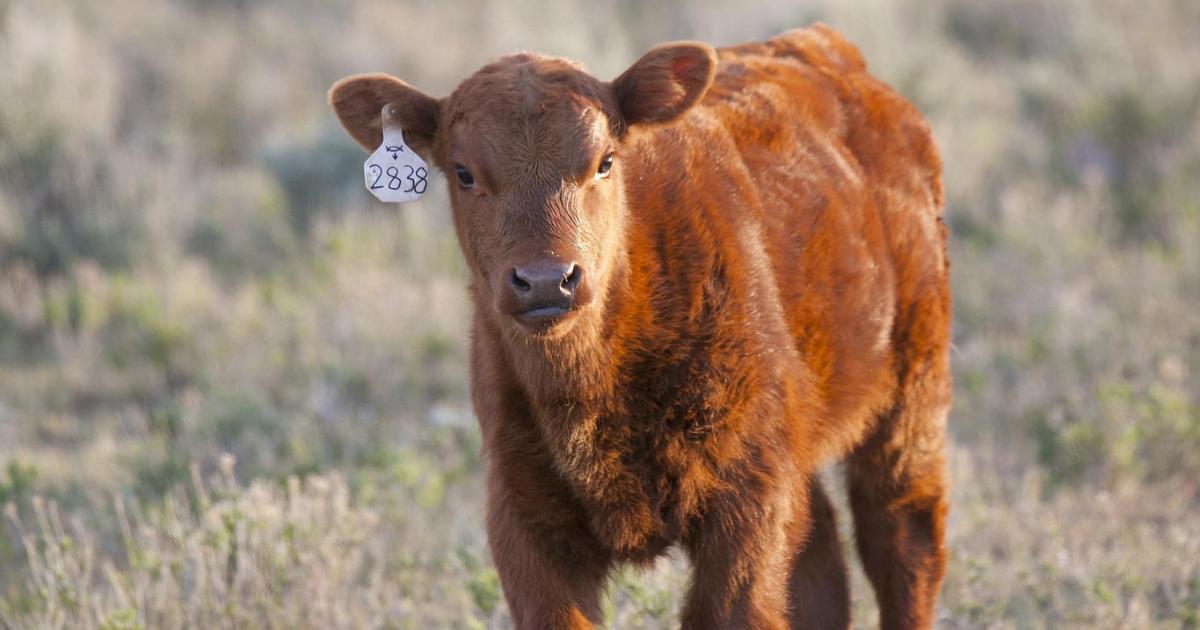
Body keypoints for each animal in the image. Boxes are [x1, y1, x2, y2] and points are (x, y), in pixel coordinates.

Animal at [329, 23, 951, 630]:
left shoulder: (746, 500)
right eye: (464, 173)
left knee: (902, 538)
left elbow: (736, 610)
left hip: (911, 394)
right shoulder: (524, 518)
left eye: (604, 161)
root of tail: (830, 51)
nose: (547, 281)